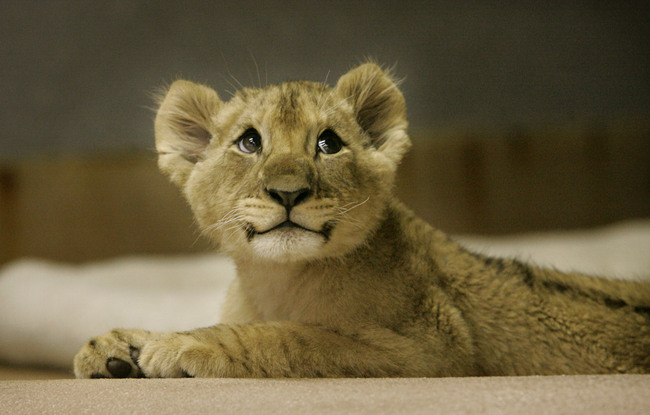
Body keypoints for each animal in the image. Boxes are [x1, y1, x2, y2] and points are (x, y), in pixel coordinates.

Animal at [73, 62, 650, 378]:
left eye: (328, 143)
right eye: (249, 141)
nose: (288, 192)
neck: (275, 280)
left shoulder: (432, 350)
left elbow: (290, 339)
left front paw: (178, 345)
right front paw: (115, 349)